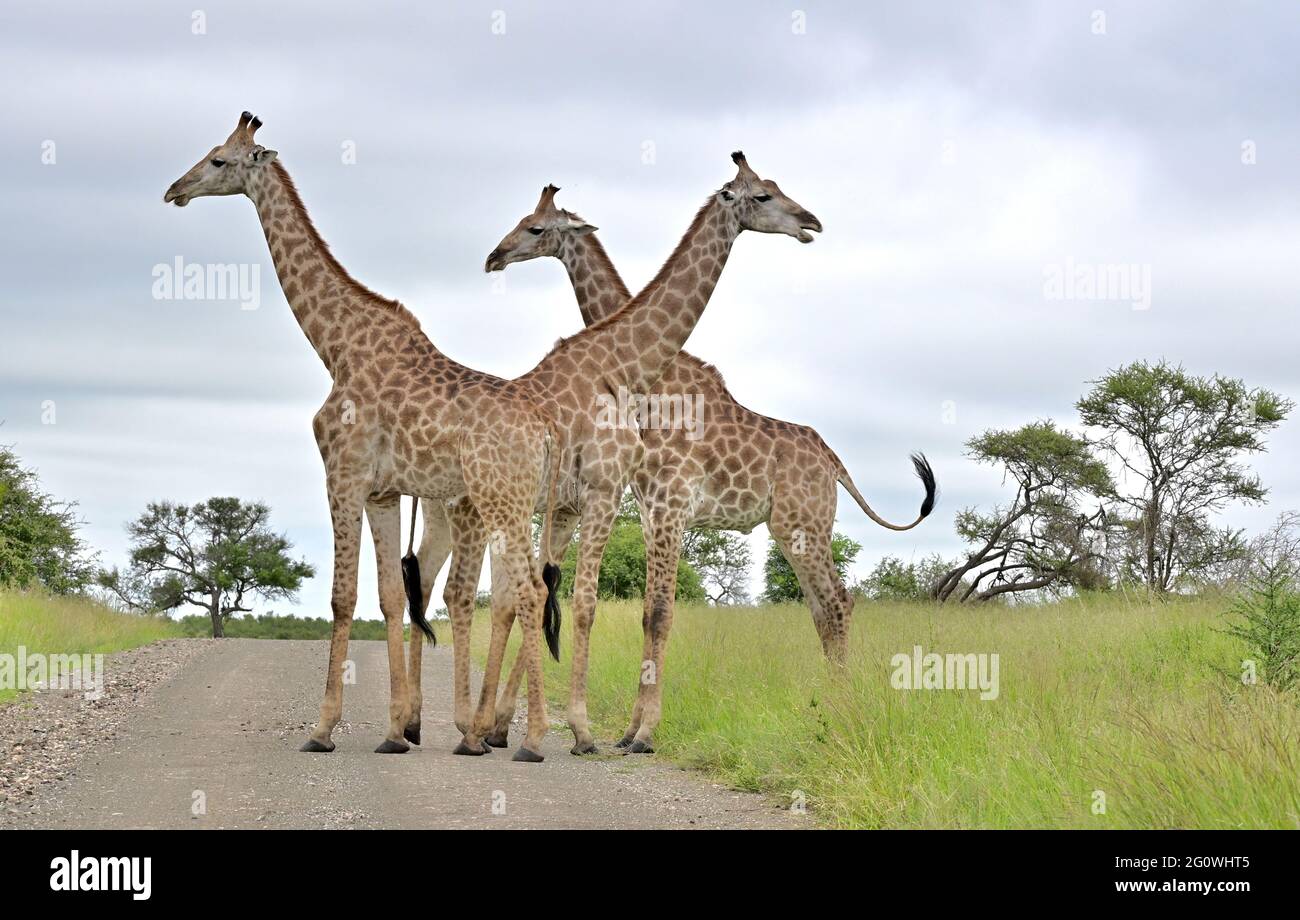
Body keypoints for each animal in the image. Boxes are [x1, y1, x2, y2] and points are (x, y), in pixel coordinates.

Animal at [164, 112, 563, 762]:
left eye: (219, 160)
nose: (176, 189)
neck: (335, 345)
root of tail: (547, 430)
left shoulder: (342, 474)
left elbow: (341, 595)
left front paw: (323, 728)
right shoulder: (383, 490)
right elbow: (392, 595)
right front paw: (395, 731)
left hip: (499, 498)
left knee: (526, 591)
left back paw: (527, 739)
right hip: (515, 502)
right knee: (524, 590)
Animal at [405, 152, 825, 756]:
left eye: (536, 228)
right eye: (764, 195)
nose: (810, 222)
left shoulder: (611, 501)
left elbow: (578, 601)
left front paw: (546, 726)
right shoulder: (617, 498)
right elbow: (592, 603)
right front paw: (591, 730)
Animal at [482, 184, 936, 753]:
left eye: (536, 228)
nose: (495, 256)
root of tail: (834, 461)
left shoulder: (668, 502)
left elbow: (657, 612)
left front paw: (640, 734)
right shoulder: (648, 507)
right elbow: (637, 610)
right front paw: (622, 730)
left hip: (804, 526)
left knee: (838, 603)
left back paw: (840, 710)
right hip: (793, 530)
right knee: (823, 607)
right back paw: (833, 708)